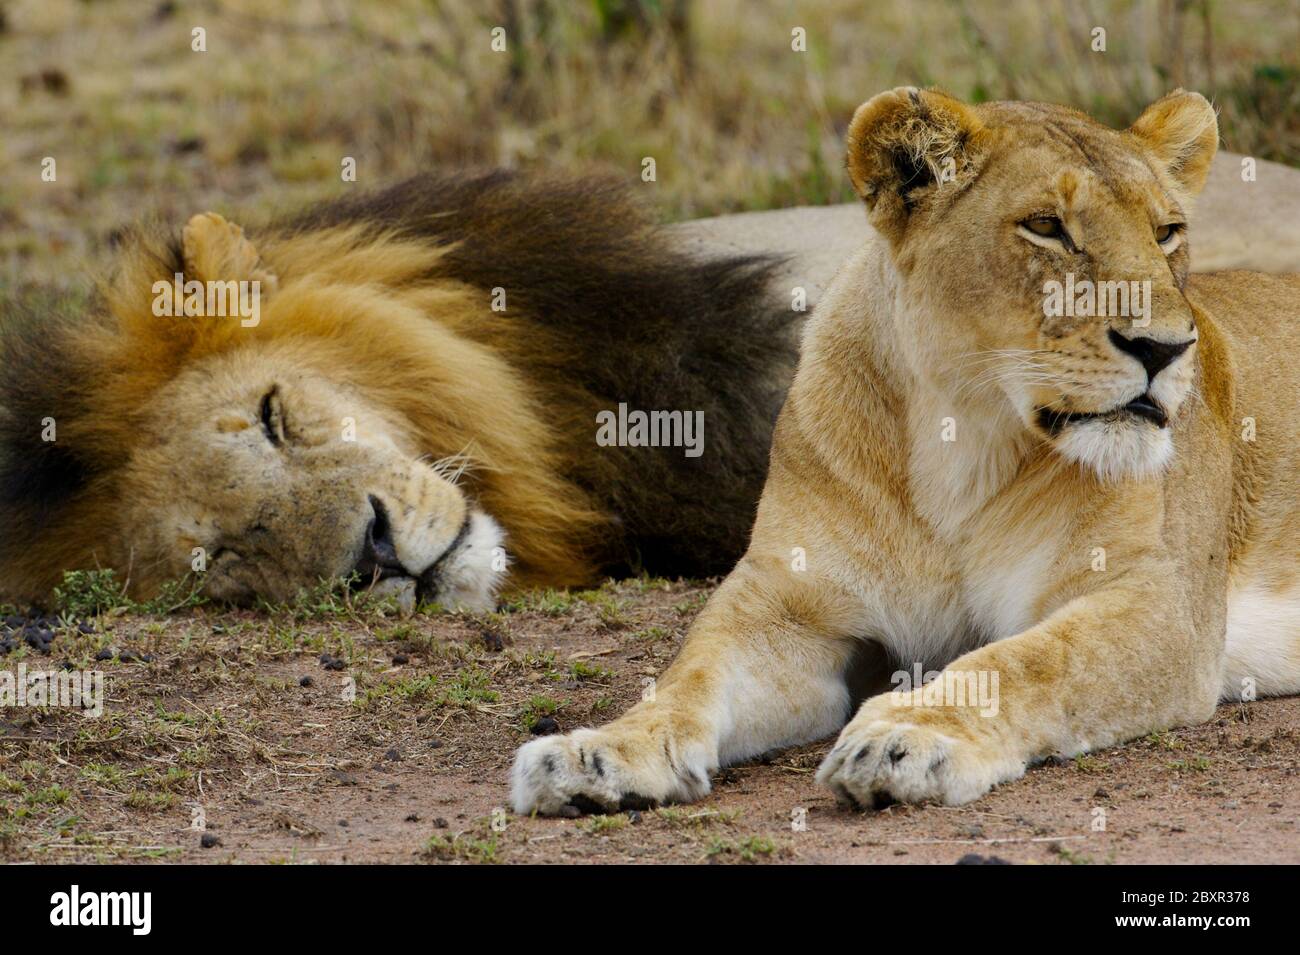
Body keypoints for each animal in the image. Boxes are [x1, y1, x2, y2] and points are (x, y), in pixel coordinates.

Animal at [510, 88, 1300, 815]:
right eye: (1047, 227)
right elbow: (691, 671)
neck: (962, 438)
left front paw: (910, 737)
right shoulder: (788, 604)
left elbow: (1023, 660)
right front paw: (601, 751)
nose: (1165, 349)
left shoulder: (1161, 605)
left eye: (1167, 232)